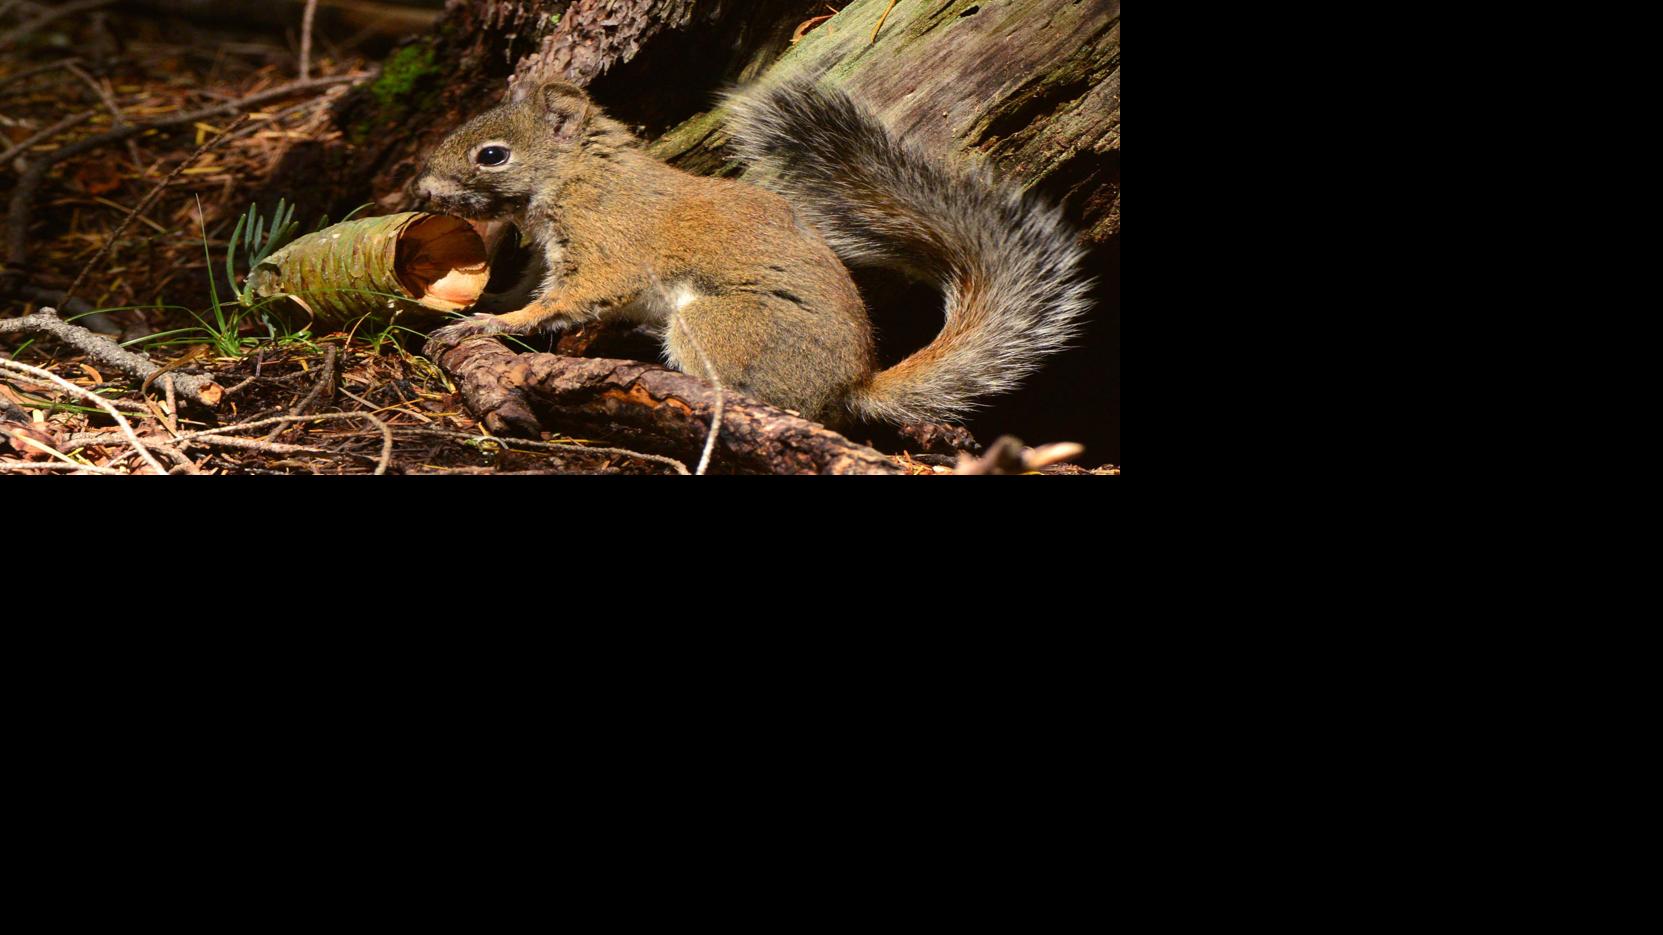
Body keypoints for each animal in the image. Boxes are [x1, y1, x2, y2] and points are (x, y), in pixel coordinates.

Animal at [415, 79, 1092, 427]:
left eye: (493, 155)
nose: (421, 188)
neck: (579, 175)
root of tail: (850, 386)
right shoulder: (547, 254)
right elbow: (526, 286)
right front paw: (482, 303)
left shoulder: (608, 246)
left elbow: (563, 301)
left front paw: (487, 324)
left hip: (719, 325)